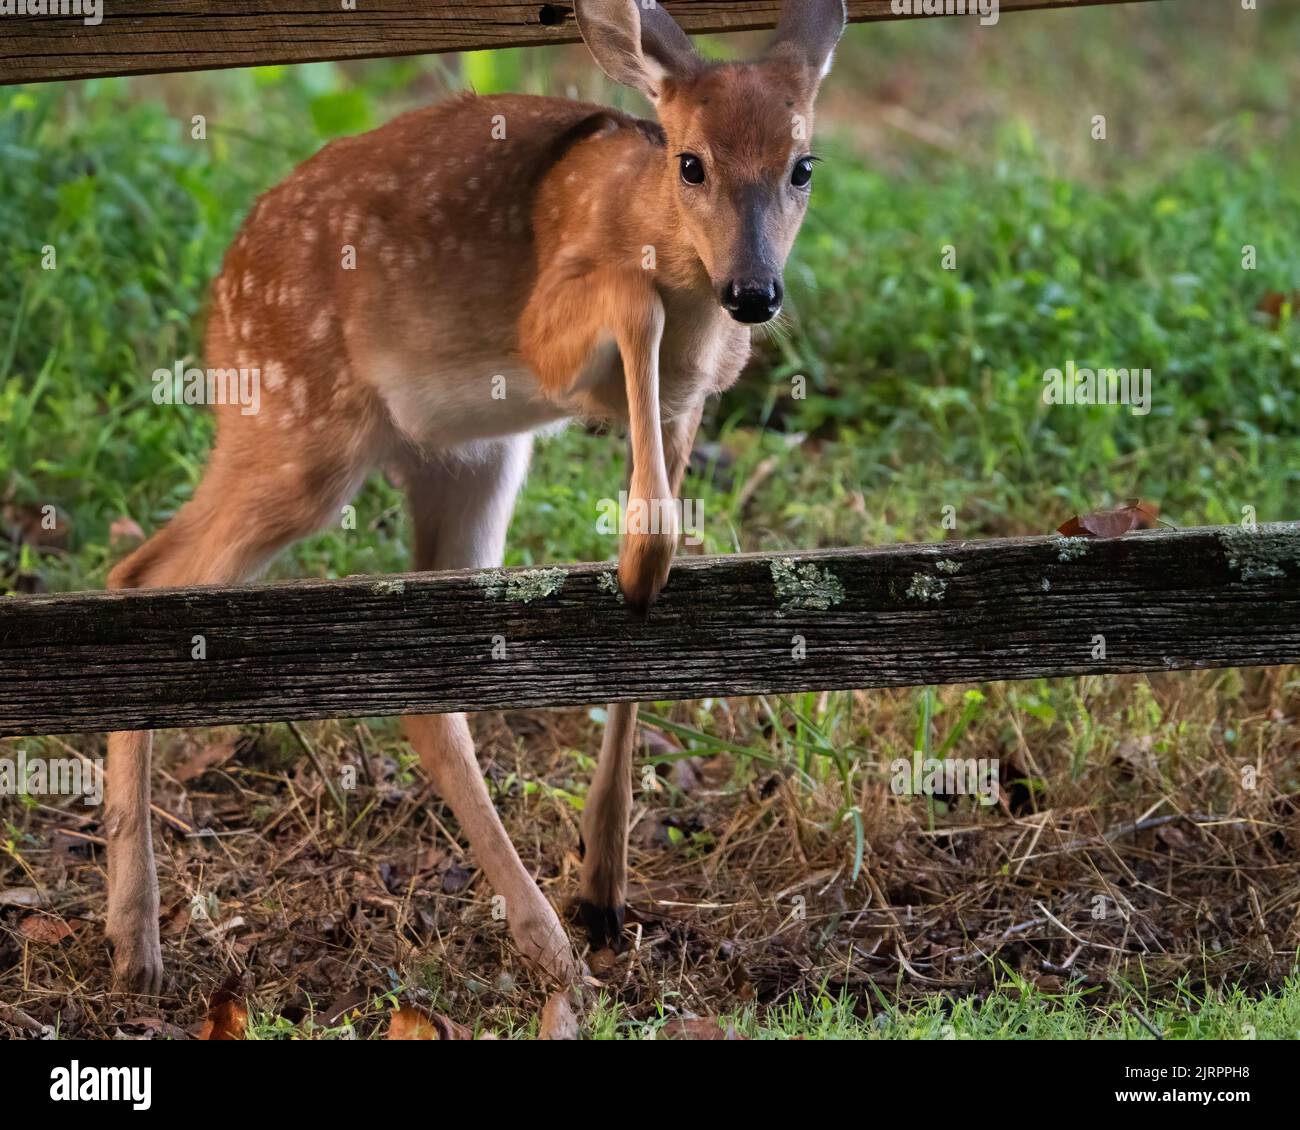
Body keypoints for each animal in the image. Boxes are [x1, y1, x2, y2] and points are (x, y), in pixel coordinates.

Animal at [102, 0, 847, 993]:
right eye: (691, 162)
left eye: (803, 167)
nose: (755, 291)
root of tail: (219, 296)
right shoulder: (548, 331)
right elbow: (633, 299)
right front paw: (641, 552)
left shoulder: (688, 403)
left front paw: (604, 881)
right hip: (293, 427)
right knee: (143, 574)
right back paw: (135, 943)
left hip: (471, 459)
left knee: (426, 692)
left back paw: (549, 935)